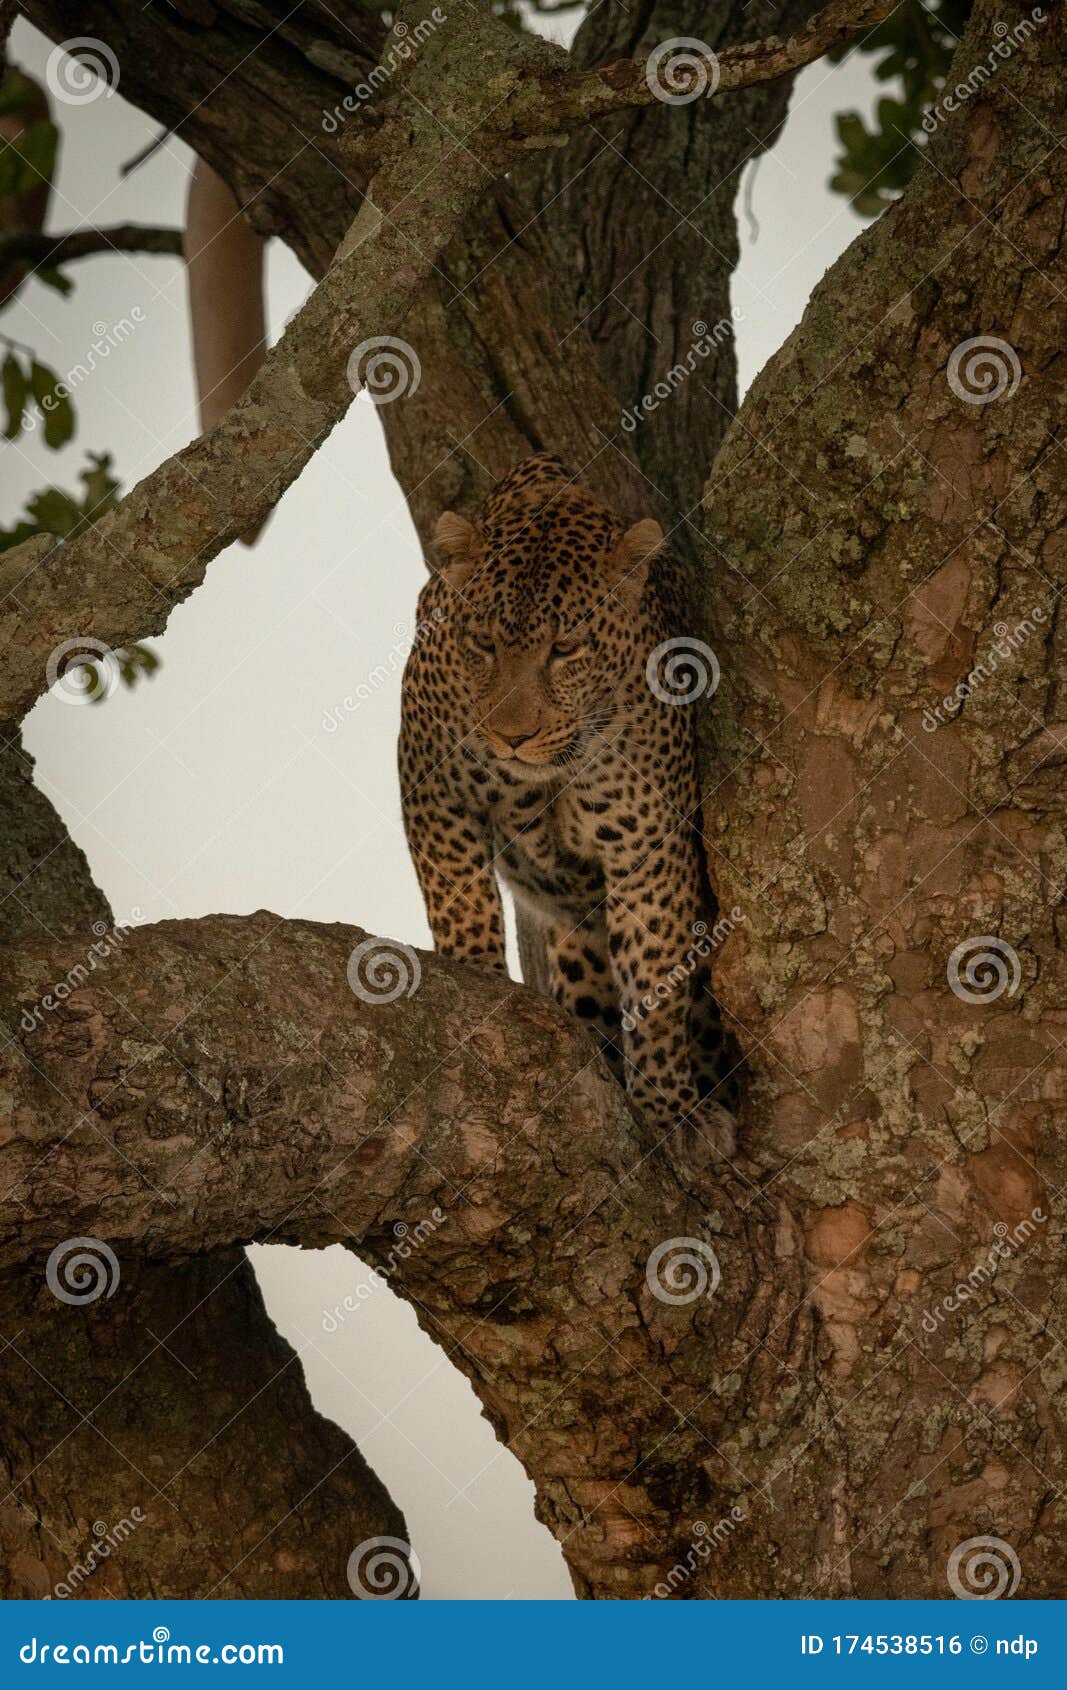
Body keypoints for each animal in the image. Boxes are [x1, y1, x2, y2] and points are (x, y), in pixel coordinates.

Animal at [399, 453, 736, 1160]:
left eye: (566, 648)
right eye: (483, 643)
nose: (511, 735)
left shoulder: (648, 844)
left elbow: (655, 985)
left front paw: (671, 1111)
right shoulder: (432, 787)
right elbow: (462, 904)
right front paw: (478, 983)